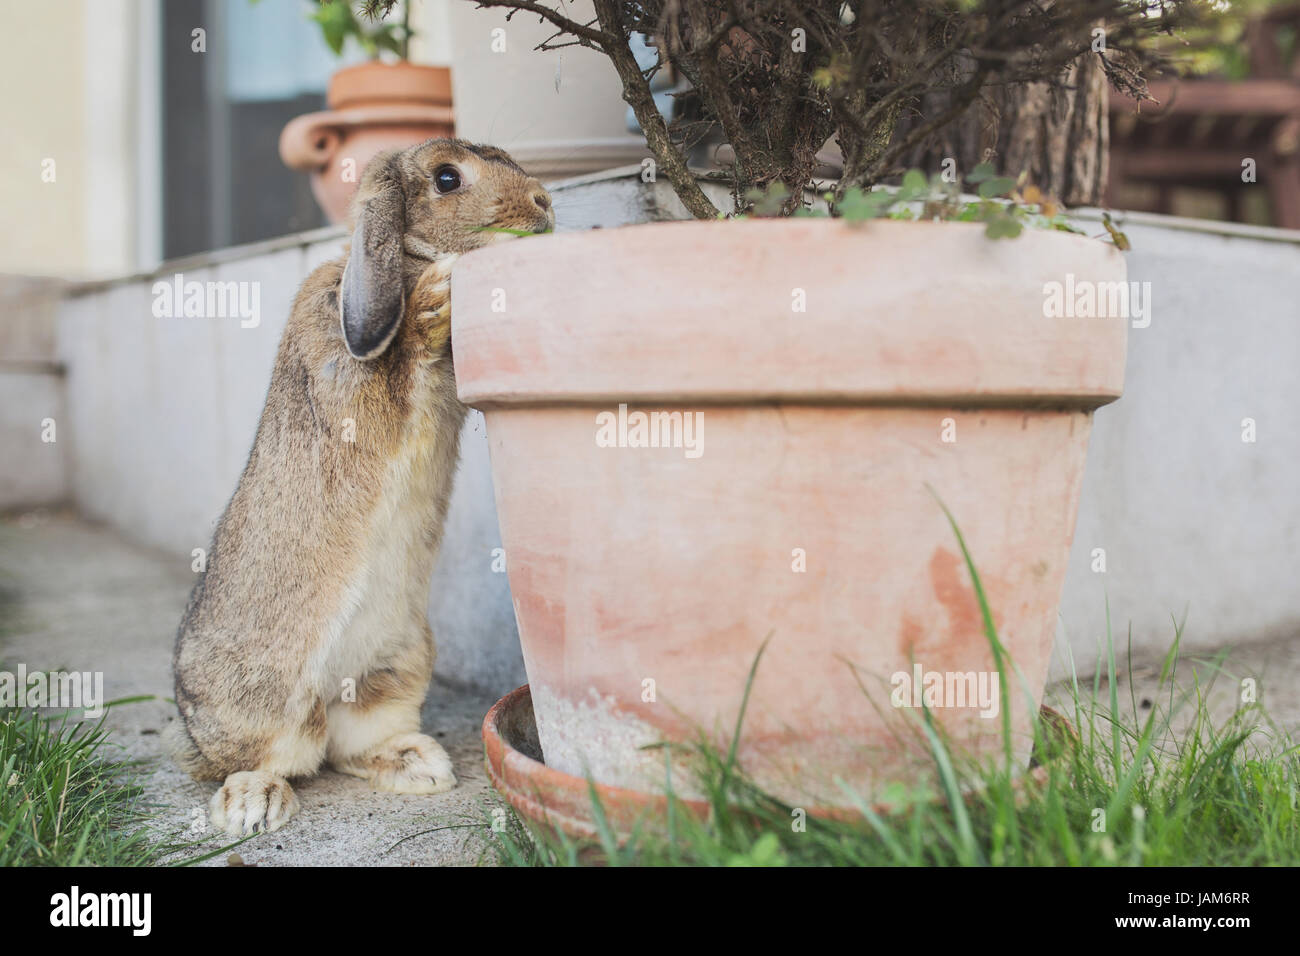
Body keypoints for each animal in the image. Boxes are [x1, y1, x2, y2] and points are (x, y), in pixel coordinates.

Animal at [168, 139, 554, 837]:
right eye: (447, 178)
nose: (543, 202)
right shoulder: (348, 379)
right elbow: (396, 369)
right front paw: (439, 291)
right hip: (264, 700)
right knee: (275, 758)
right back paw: (253, 807)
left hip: (397, 669)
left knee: (348, 747)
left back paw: (419, 767)